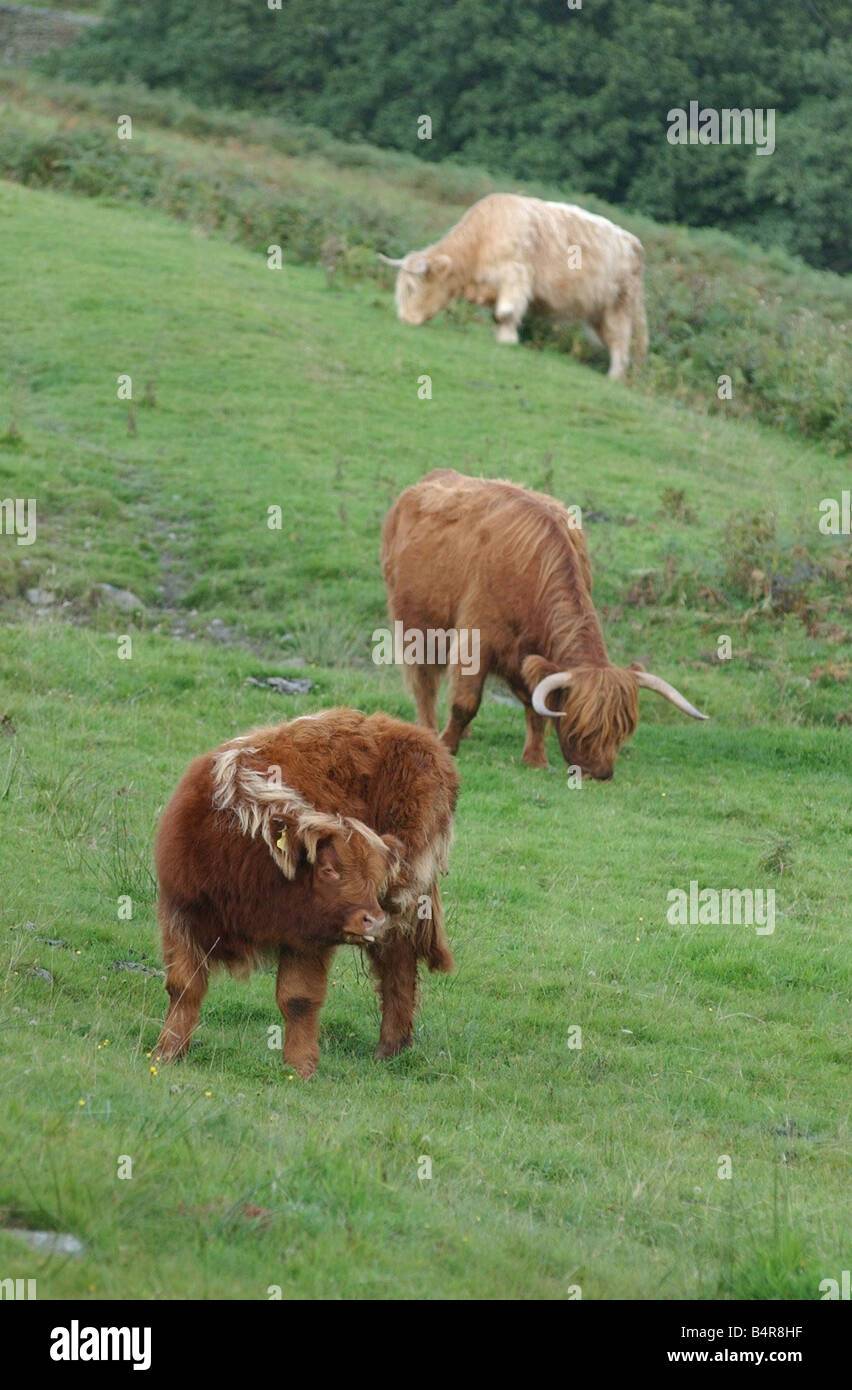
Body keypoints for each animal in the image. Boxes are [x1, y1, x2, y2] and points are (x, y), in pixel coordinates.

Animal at [153, 709, 458, 1079]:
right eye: (328, 871)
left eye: (374, 876)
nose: (371, 920)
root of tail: (420, 738)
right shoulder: (179, 911)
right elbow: (184, 986)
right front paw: (168, 1051)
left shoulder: (309, 938)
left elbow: (298, 998)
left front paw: (300, 1067)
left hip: (402, 899)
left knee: (397, 960)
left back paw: (391, 1046)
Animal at [378, 192, 648, 380]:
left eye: (412, 288)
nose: (405, 318)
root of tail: (633, 242)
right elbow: (498, 315)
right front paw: (501, 335)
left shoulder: (515, 277)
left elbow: (506, 312)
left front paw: (507, 339)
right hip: (599, 313)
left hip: (620, 306)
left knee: (621, 343)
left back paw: (614, 377)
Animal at [381, 470, 707, 780]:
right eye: (581, 728)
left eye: (621, 731)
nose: (601, 773)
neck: (530, 575)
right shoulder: (476, 638)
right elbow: (466, 701)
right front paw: (448, 745)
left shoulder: (528, 654)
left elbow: (534, 705)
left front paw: (535, 758)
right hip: (416, 626)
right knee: (425, 684)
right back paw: (429, 730)